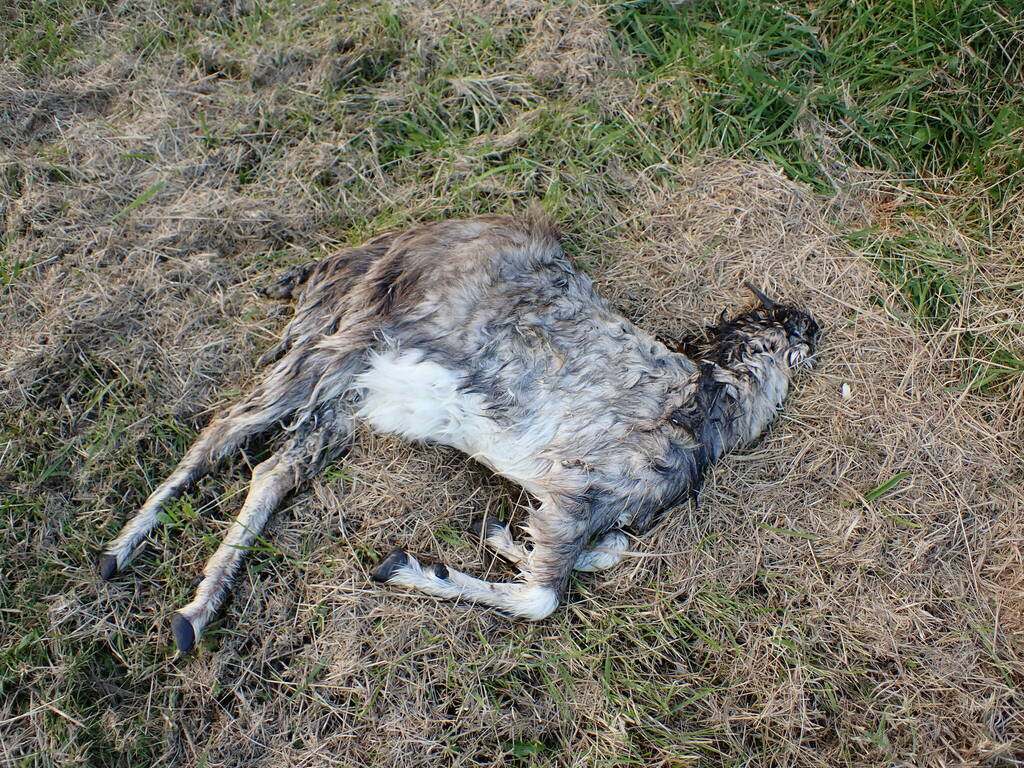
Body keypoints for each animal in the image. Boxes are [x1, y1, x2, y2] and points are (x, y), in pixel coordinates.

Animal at [99, 211, 819, 652]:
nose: (812, 329)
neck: (712, 408)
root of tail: (365, 252)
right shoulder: (580, 490)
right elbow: (544, 597)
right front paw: (414, 567)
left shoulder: (586, 507)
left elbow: (603, 554)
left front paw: (505, 539)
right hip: (341, 345)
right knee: (224, 429)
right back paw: (122, 553)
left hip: (352, 394)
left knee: (274, 468)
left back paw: (196, 610)